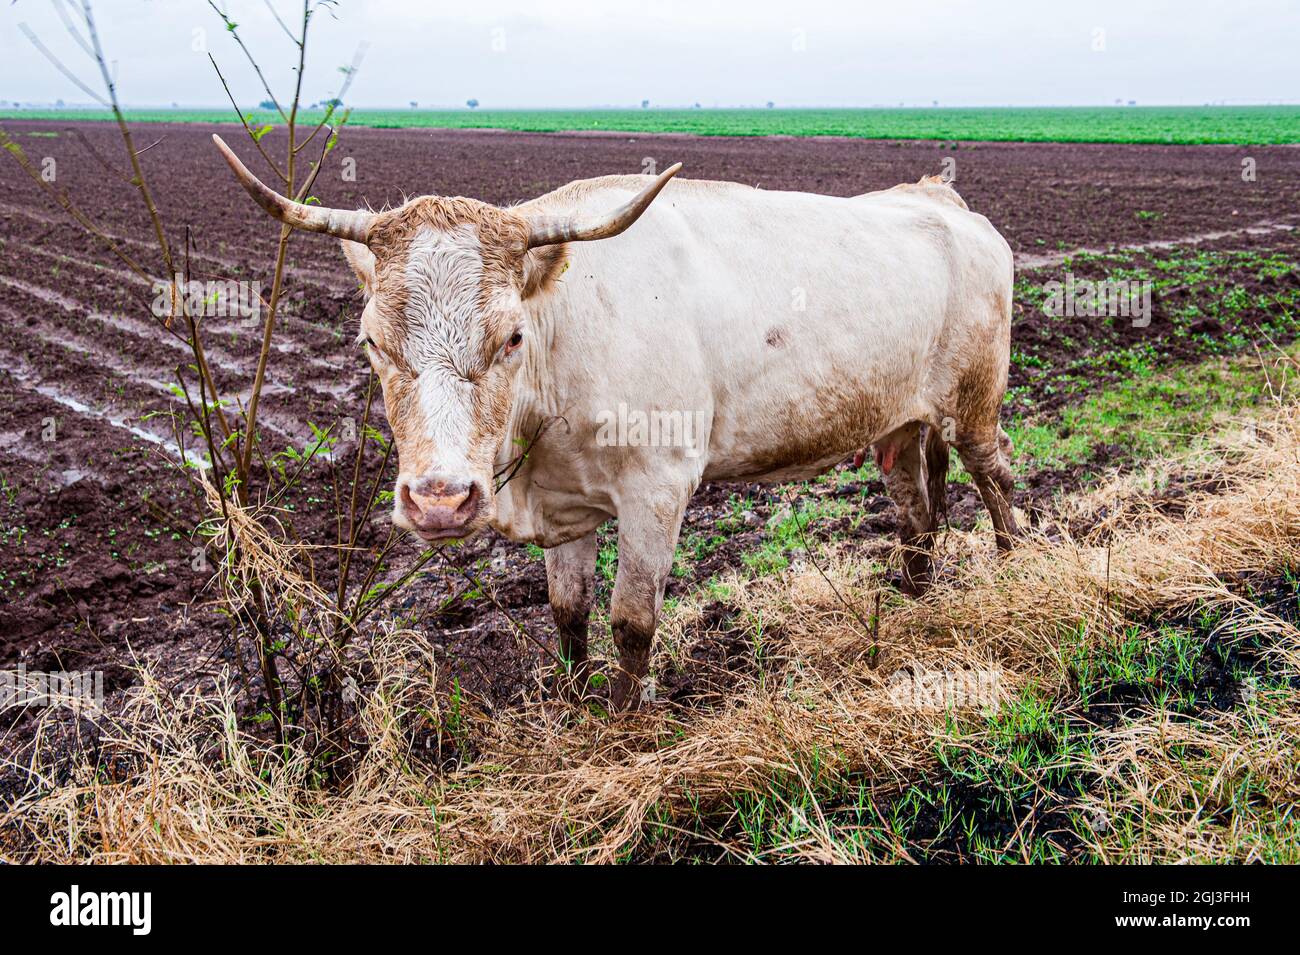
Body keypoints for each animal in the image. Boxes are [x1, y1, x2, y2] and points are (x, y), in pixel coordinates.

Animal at [212, 134, 1019, 711]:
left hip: (974, 401)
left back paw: (1016, 566)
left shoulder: (658, 487)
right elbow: (568, 613)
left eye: (511, 337)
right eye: (371, 342)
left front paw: (625, 724)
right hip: (897, 420)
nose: (440, 500)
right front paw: (574, 709)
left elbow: (631, 619)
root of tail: (940, 198)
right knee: (915, 508)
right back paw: (913, 598)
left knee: (996, 477)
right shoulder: (565, 505)